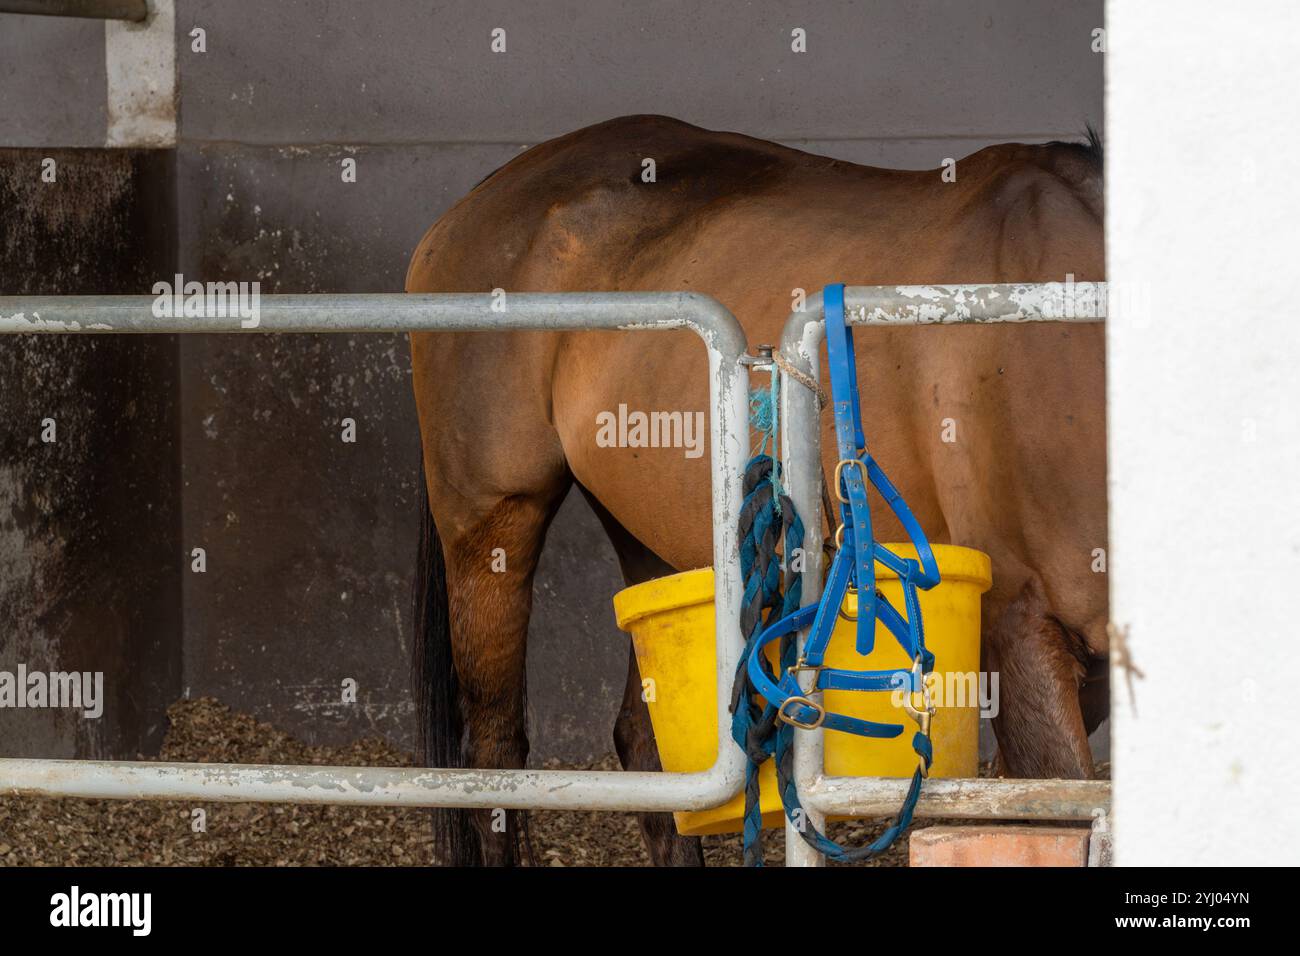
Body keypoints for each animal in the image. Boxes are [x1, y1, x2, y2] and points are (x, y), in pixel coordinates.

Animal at [406, 115, 1106, 866]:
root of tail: (478, 198)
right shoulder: (1022, 625)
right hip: (489, 521)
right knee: (495, 750)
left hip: (658, 541)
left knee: (646, 747)